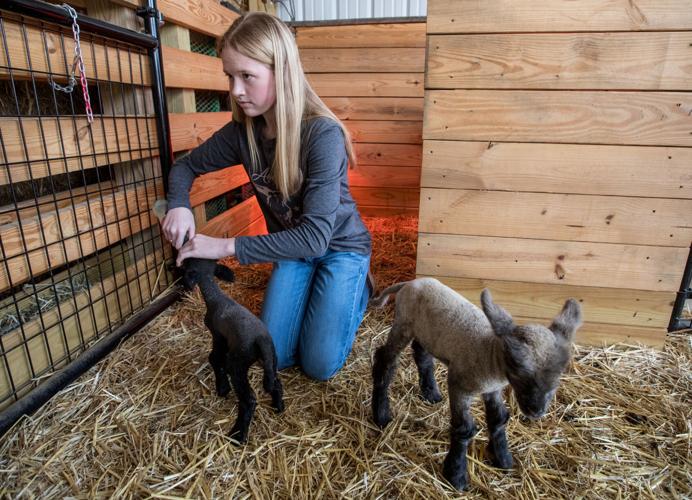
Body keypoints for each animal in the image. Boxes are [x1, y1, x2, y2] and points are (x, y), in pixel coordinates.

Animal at [181, 257, 284, 443]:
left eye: (187, 264)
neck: (217, 298)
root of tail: (262, 339)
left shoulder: (218, 337)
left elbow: (215, 359)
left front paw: (222, 388)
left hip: (238, 364)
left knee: (249, 400)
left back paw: (238, 435)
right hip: (271, 360)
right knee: (275, 382)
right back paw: (278, 406)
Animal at [369, 277, 582, 491]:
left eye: (559, 371)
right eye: (516, 365)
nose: (536, 410)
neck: (489, 352)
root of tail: (411, 282)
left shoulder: (493, 390)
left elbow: (498, 418)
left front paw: (502, 458)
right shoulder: (458, 385)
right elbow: (464, 428)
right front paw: (456, 476)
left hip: (427, 332)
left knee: (421, 353)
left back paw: (430, 393)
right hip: (403, 323)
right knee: (385, 360)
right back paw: (381, 414)